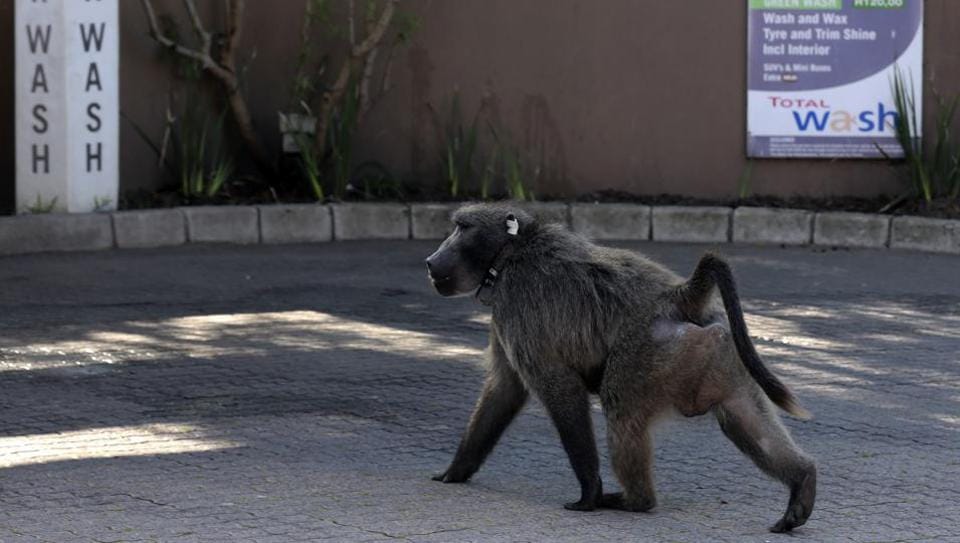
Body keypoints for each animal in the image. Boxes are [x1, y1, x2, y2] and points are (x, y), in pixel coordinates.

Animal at [424, 202, 817, 533]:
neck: (511, 253)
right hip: (721, 349)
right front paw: (454, 472)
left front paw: (588, 494)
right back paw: (802, 482)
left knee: (621, 409)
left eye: (462, 228)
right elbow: (504, 388)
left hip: (646, 353)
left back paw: (633, 500)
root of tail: (677, 296)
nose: (431, 260)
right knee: (741, 415)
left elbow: (558, 386)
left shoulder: (516, 303)